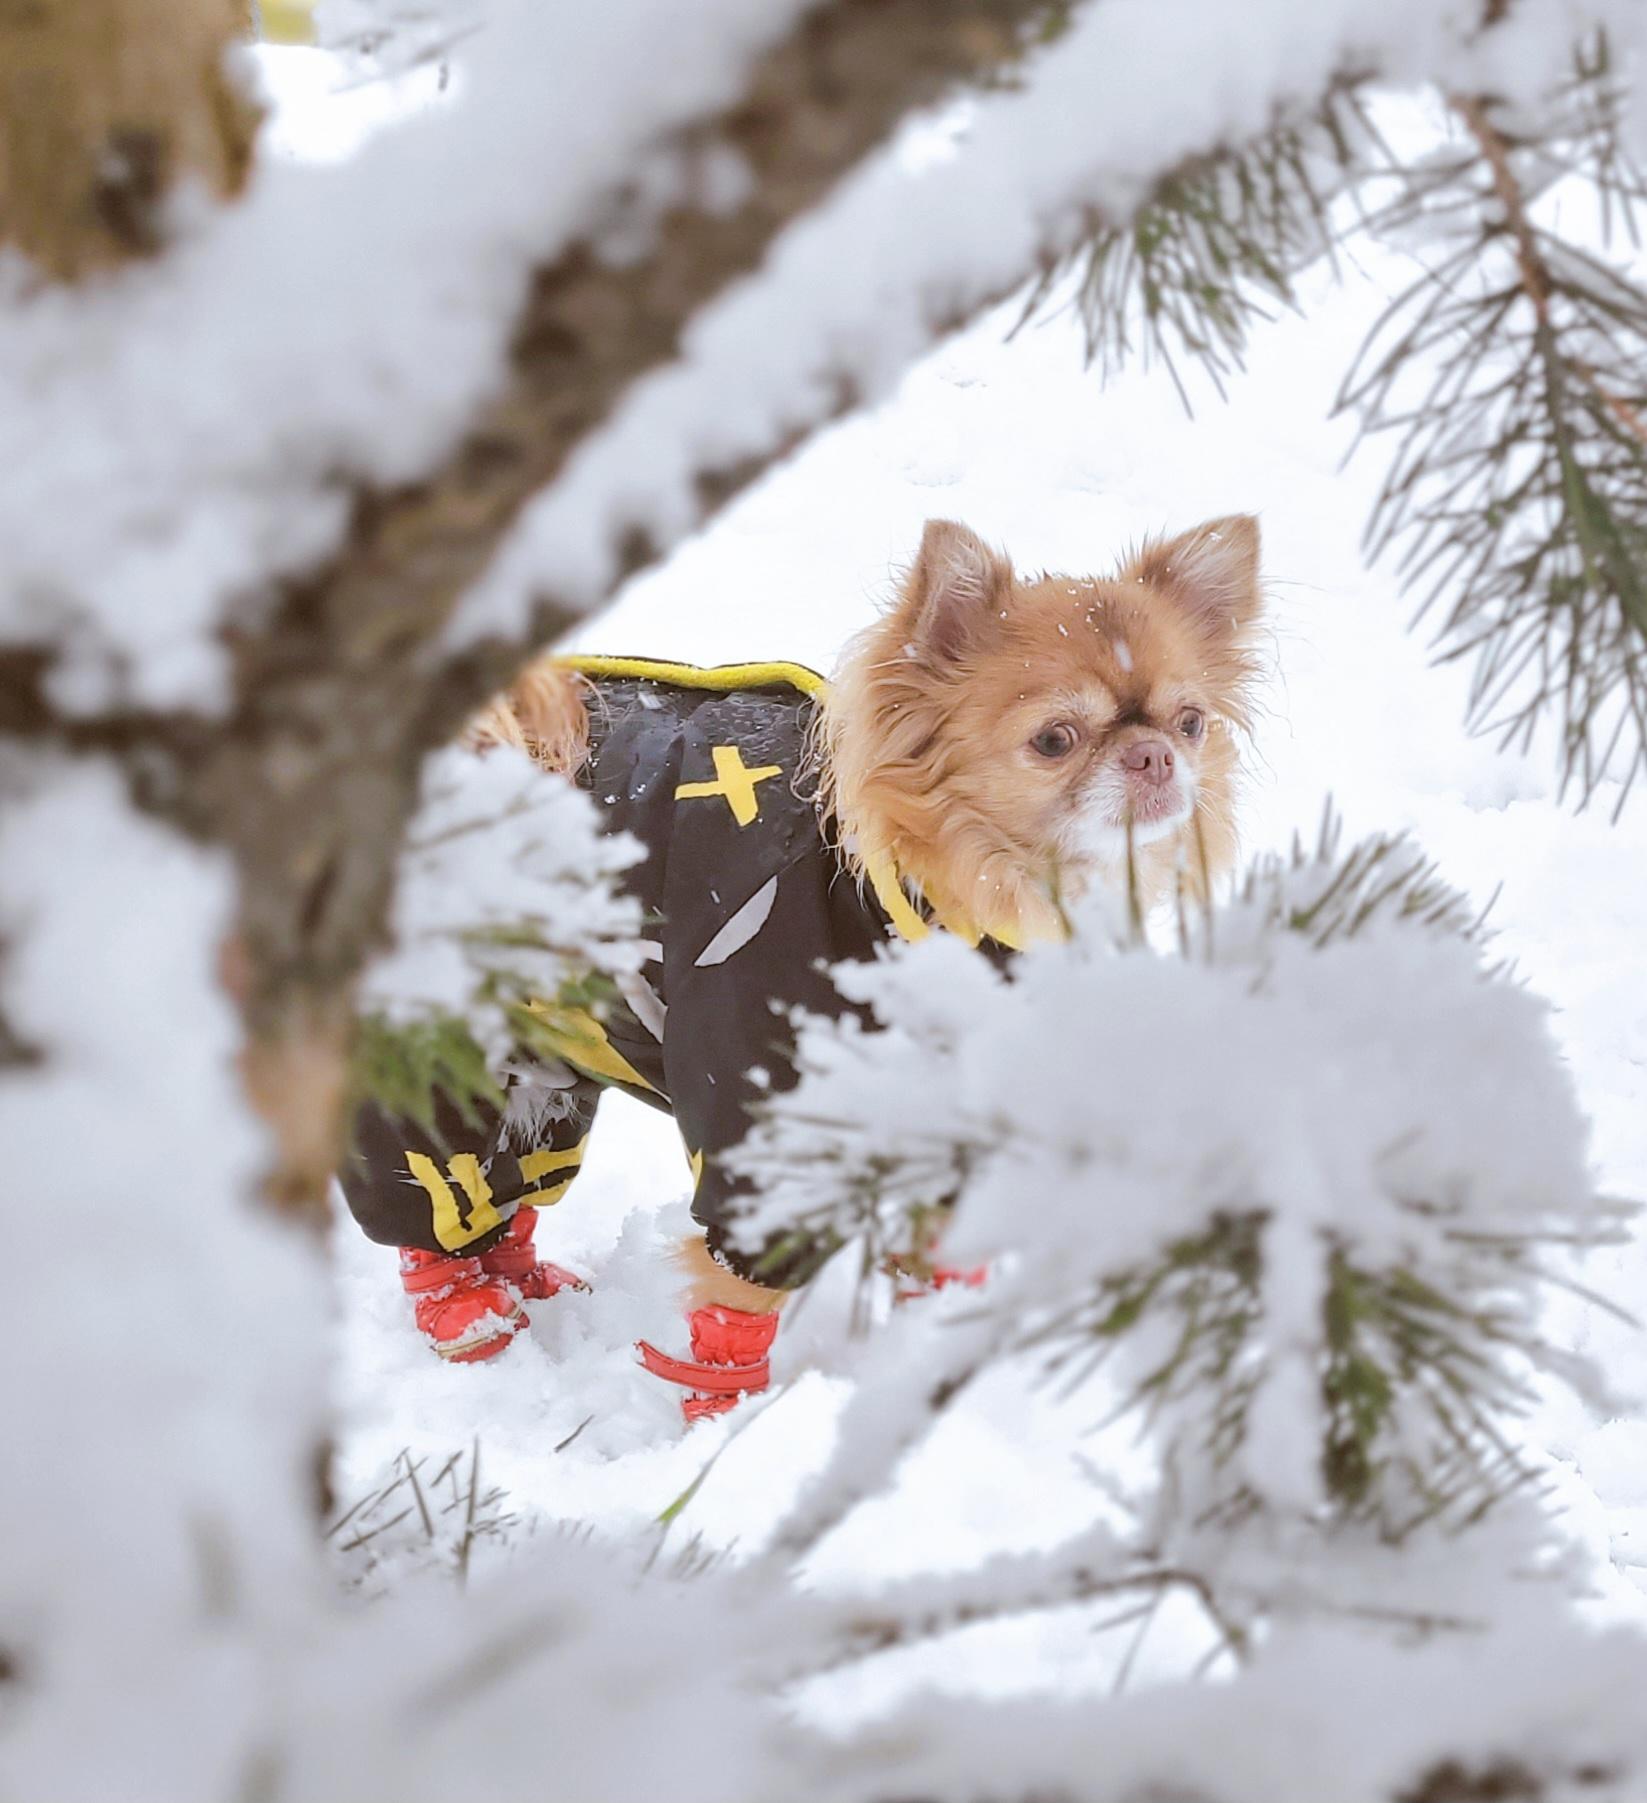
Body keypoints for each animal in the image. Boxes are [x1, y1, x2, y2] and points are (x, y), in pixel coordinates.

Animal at [333, 515, 1262, 1413]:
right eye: (1054, 739)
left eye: (1191, 722)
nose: (1156, 756)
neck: (921, 905)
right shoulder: (763, 1144)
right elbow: (734, 1312)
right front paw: (722, 1424)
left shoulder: (945, 1119)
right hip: (436, 1066)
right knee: (439, 1201)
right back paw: (475, 1325)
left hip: (549, 1058)